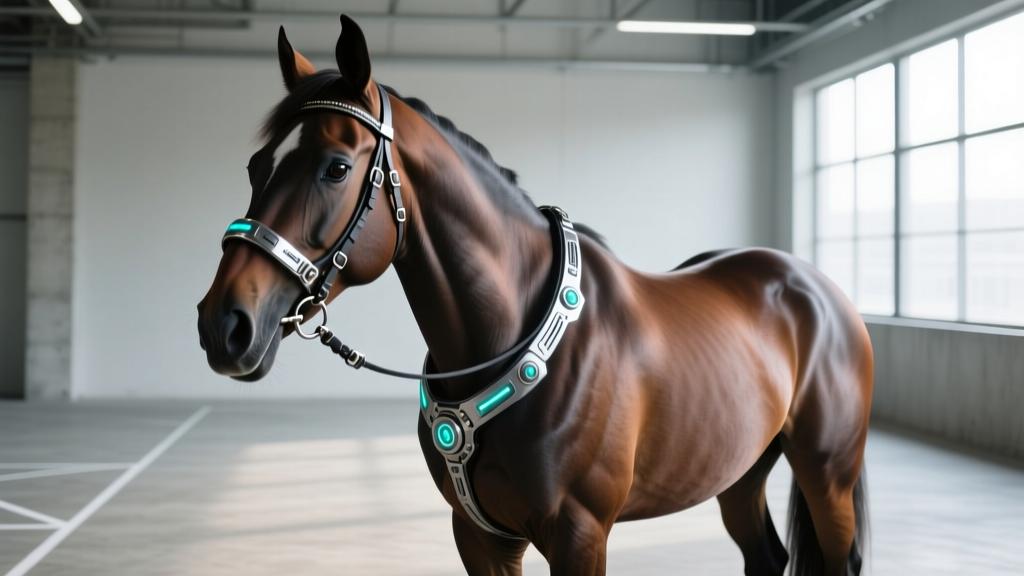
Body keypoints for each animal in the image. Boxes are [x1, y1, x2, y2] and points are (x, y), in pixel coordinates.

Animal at [197, 16, 872, 576]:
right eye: (257, 165)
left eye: (335, 167)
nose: (222, 325)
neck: (520, 338)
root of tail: (818, 289)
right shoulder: (480, 536)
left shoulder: (580, 535)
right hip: (741, 469)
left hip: (827, 476)